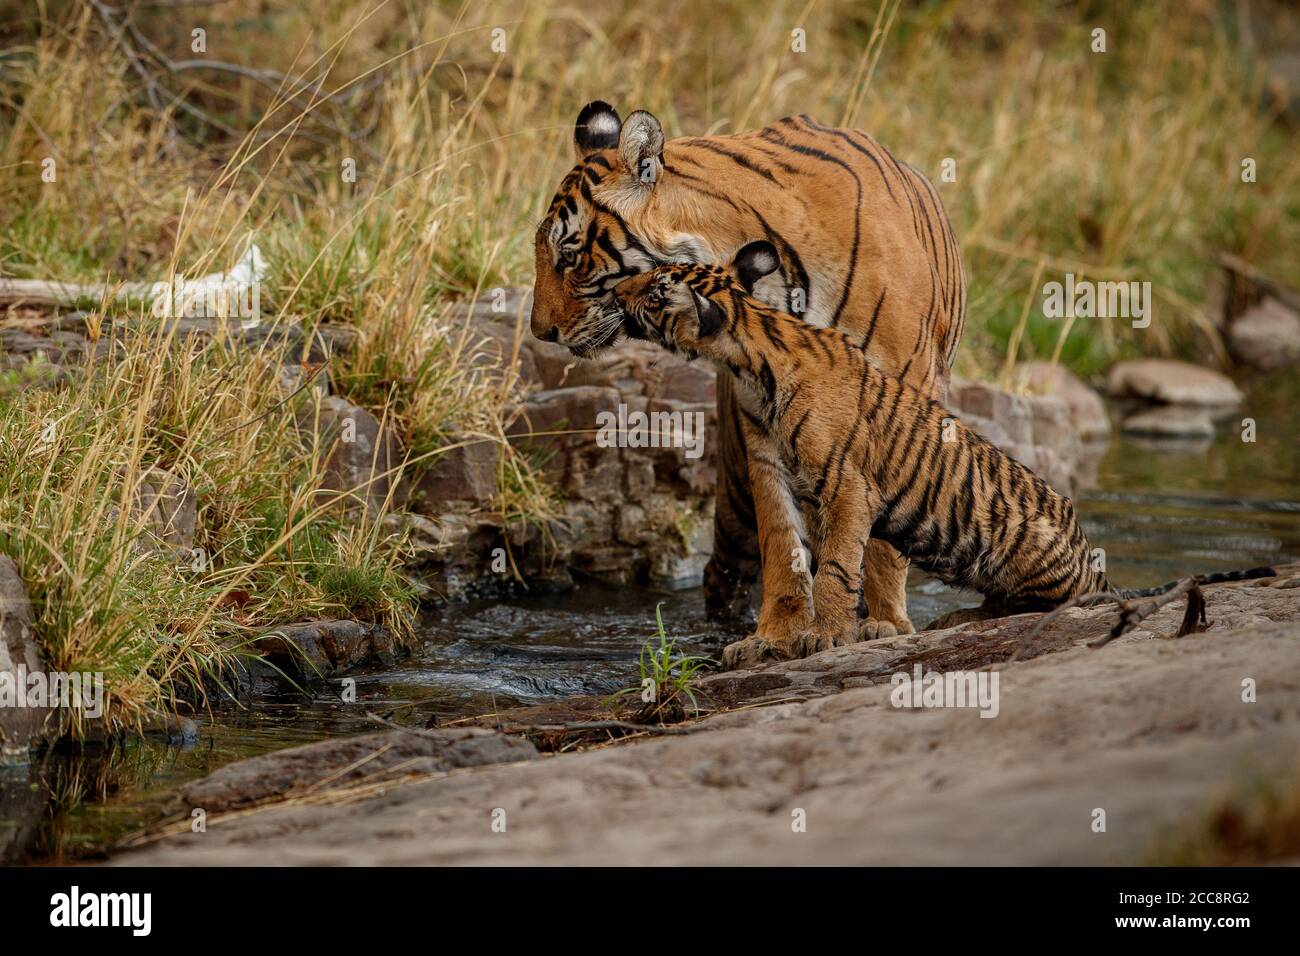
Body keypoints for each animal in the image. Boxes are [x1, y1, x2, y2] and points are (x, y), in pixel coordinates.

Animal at [530, 100, 966, 648]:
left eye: (569, 256)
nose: (540, 331)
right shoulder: (759, 408)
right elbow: (780, 533)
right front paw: (776, 635)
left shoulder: (901, 387)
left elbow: (881, 546)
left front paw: (884, 623)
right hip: (736, 494)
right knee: (723, 571)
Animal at [612, 244, 1274, 669]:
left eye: (656, 289)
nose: (617, 287)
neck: (750, 364)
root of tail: (1092, 557)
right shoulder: (771, 473)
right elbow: (784, 561)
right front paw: (765, 642)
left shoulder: (848, 486)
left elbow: (834, 570)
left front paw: (823, 638)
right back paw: (951, 623)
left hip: (1028, 544)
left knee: (1054, 604)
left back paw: (960, 622)